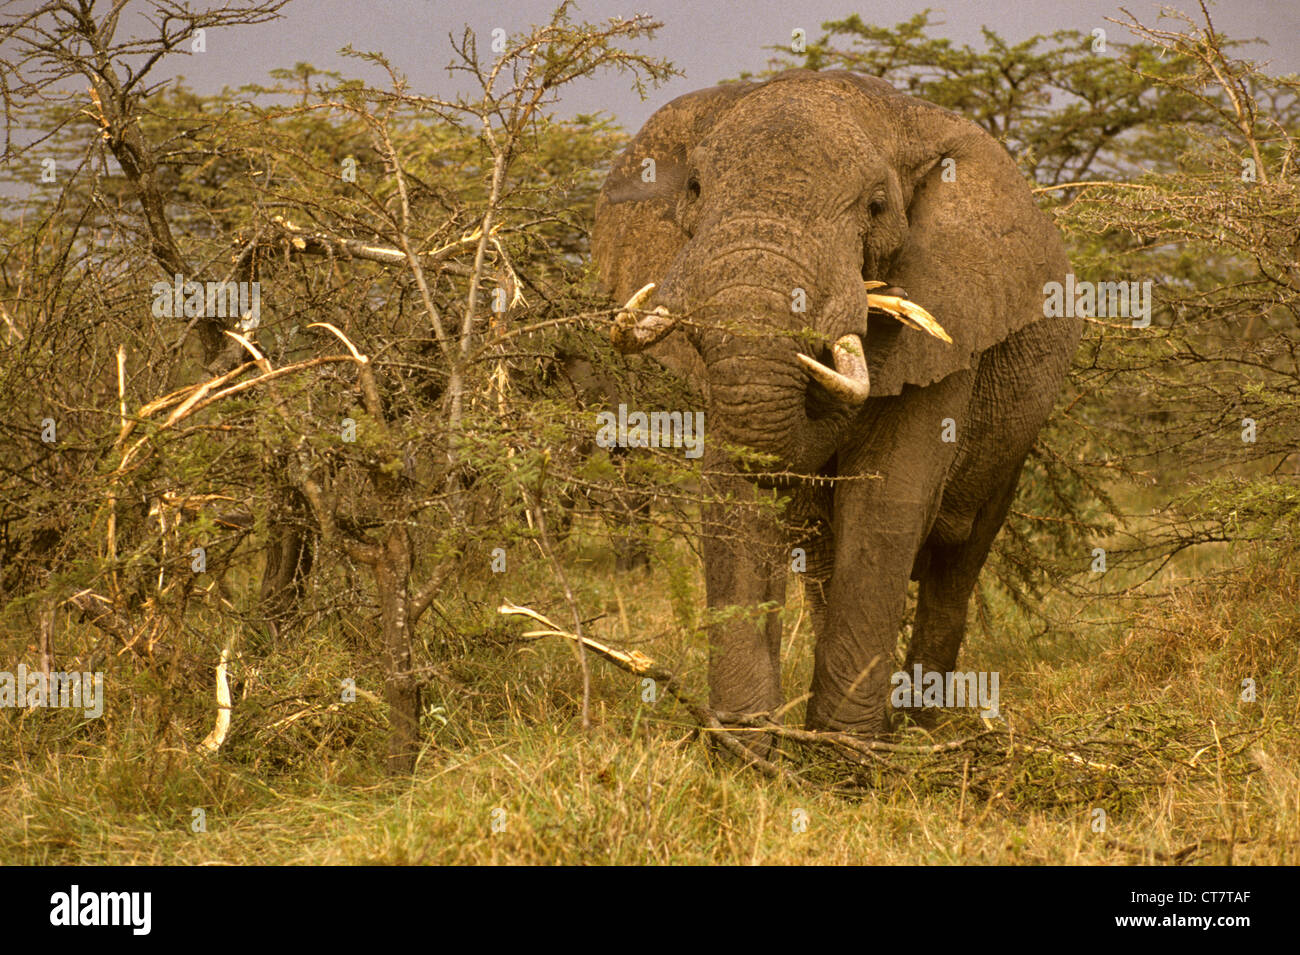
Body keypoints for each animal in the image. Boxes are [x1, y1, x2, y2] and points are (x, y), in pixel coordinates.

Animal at [591, 70, 1081, 743]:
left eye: (875, 208)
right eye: (694, 189)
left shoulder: (948, 324)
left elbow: (887, 499)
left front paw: (845, 750)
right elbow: (735, 489)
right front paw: (747, 743)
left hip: (1018, 432)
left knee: (959, 560)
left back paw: (920, 724)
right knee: (826, 559)